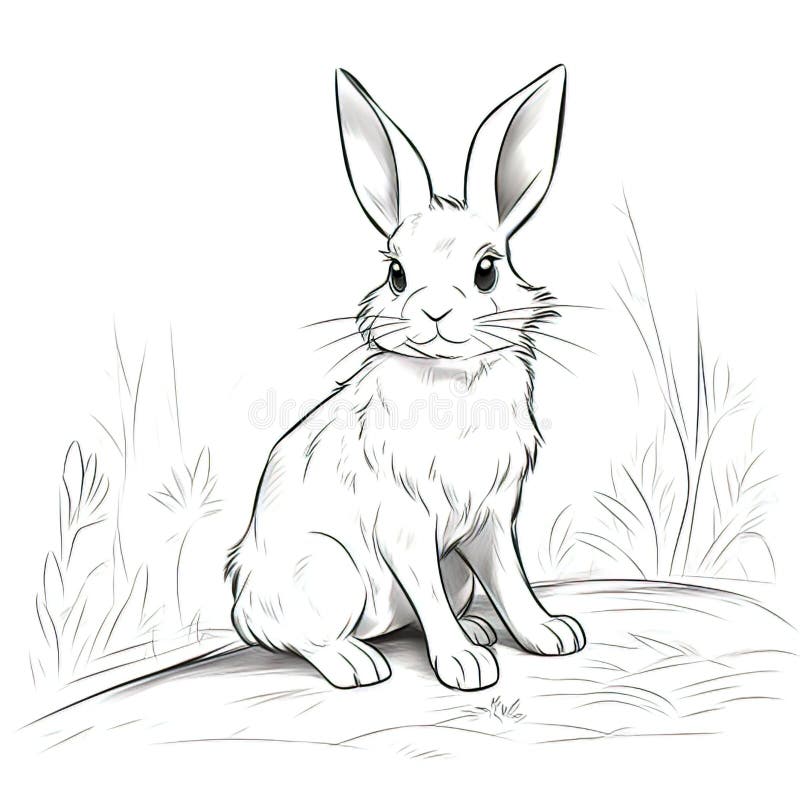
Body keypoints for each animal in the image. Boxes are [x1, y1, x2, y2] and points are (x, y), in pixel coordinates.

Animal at [226, 64, 586, 691]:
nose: (433, 311)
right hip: (328, 572)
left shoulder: (493, 519)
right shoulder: (405, 523)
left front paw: (550, 636)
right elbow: (428, 592)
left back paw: (475, 629)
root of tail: (243, 600)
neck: (452, 376)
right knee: (304, 637)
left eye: (486, 270)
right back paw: (359, 664)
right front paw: (465, 668)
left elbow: (511, 582)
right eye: (396, 274)